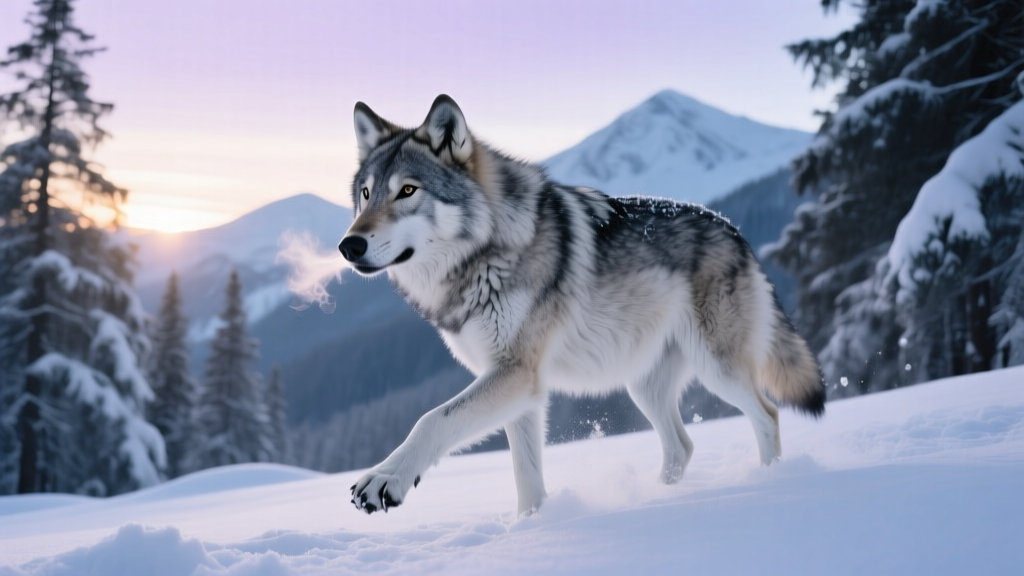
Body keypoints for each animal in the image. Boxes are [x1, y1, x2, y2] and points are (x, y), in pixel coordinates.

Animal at [338, 95, 824, 515]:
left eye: (407, 191)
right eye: (365, 194)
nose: (348, 245)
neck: (488, 251)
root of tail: (736, 231)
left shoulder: (517, 373)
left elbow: (432, 419)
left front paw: (385, 479)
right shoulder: (521, 389)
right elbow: (526, 477)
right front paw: (531, 527)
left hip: (717, 368)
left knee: (768, 415)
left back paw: (769, 484)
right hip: (644, 385)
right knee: (681, 446)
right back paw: (658, 500)